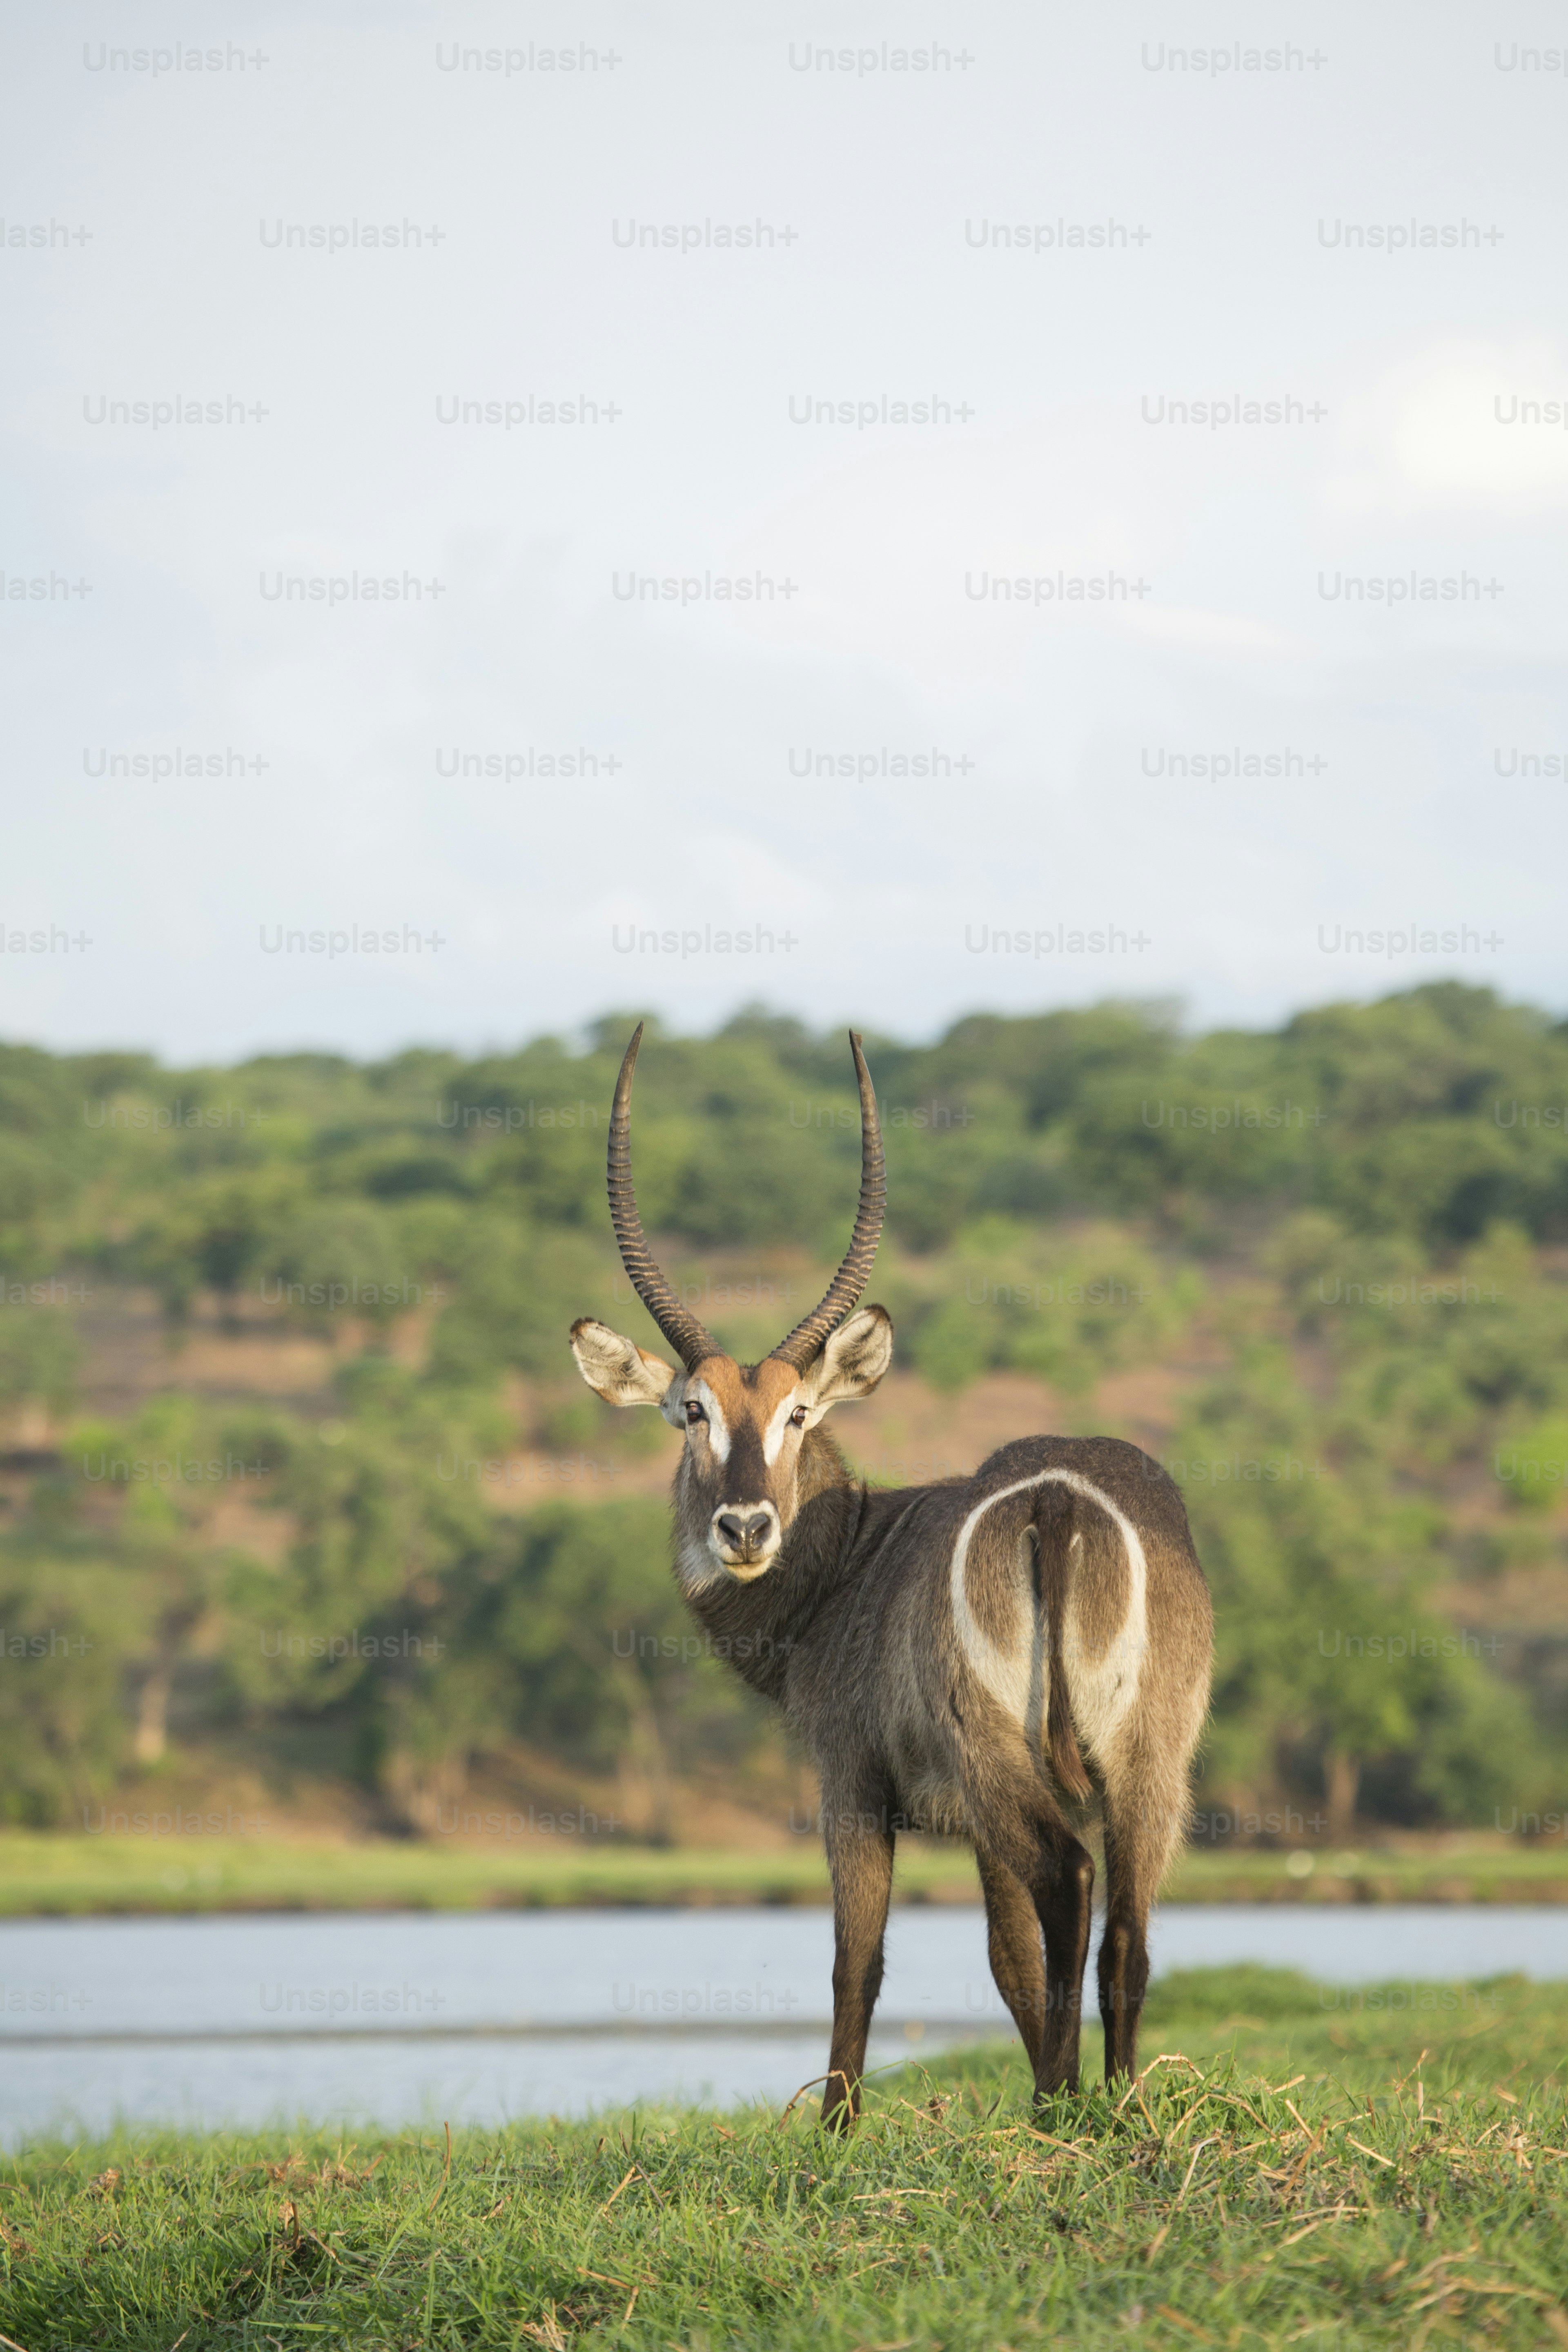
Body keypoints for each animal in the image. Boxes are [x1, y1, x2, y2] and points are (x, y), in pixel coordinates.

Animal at [570, 1026, 1213, 2126]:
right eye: (694, 1408)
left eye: (797, 1413)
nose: (746, 1525)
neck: (851, 1558)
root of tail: (1058, 1499)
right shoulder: (974, 1821)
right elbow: (1007, 1956)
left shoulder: (852, 1781)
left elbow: (856, 1959)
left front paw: (836, 2125)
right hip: (1148, 1760)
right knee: (1124, 1927)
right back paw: (1114, 2104)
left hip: (998, 1756)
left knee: (1071, 1878)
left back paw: (1064, 2107)